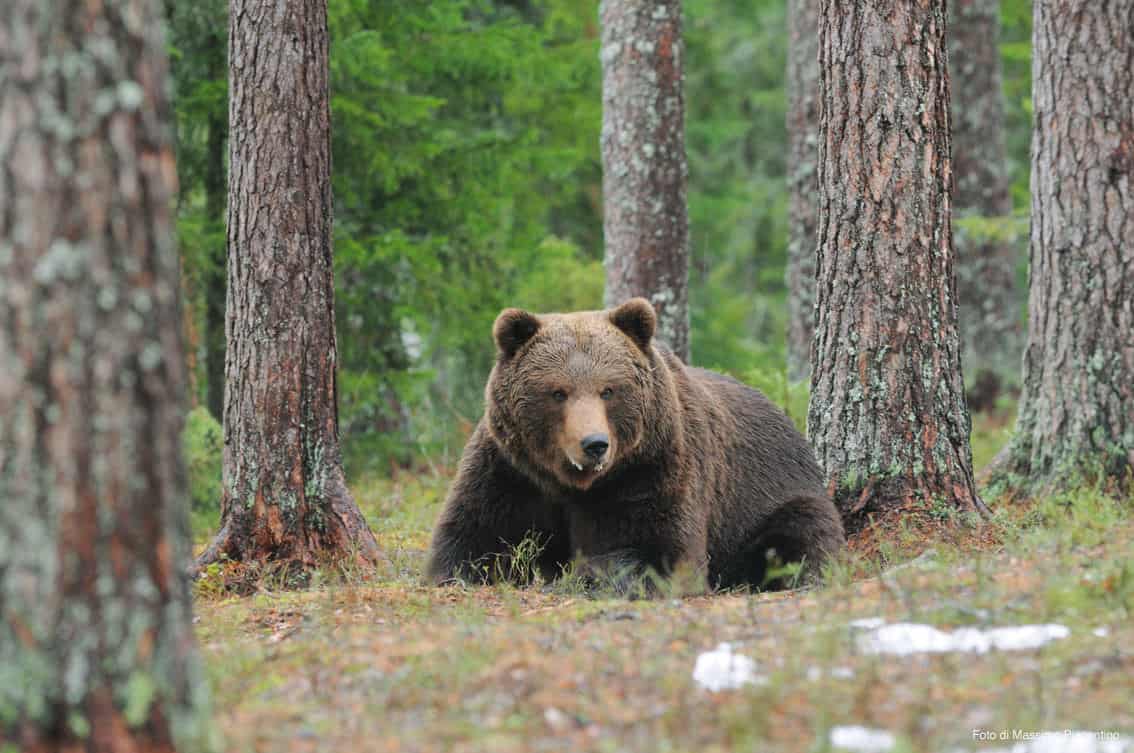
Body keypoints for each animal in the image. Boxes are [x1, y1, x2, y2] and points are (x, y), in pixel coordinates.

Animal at [425, 298, 845, 592]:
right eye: (558, 392)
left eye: (608, 390)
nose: (594, 444)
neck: (573, 484)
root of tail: (784, 416)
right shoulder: (511, 473)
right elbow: (472, 540)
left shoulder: (651, 470)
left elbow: (657, 551)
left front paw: (584, 574)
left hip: (769, 497)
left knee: (801, 533)